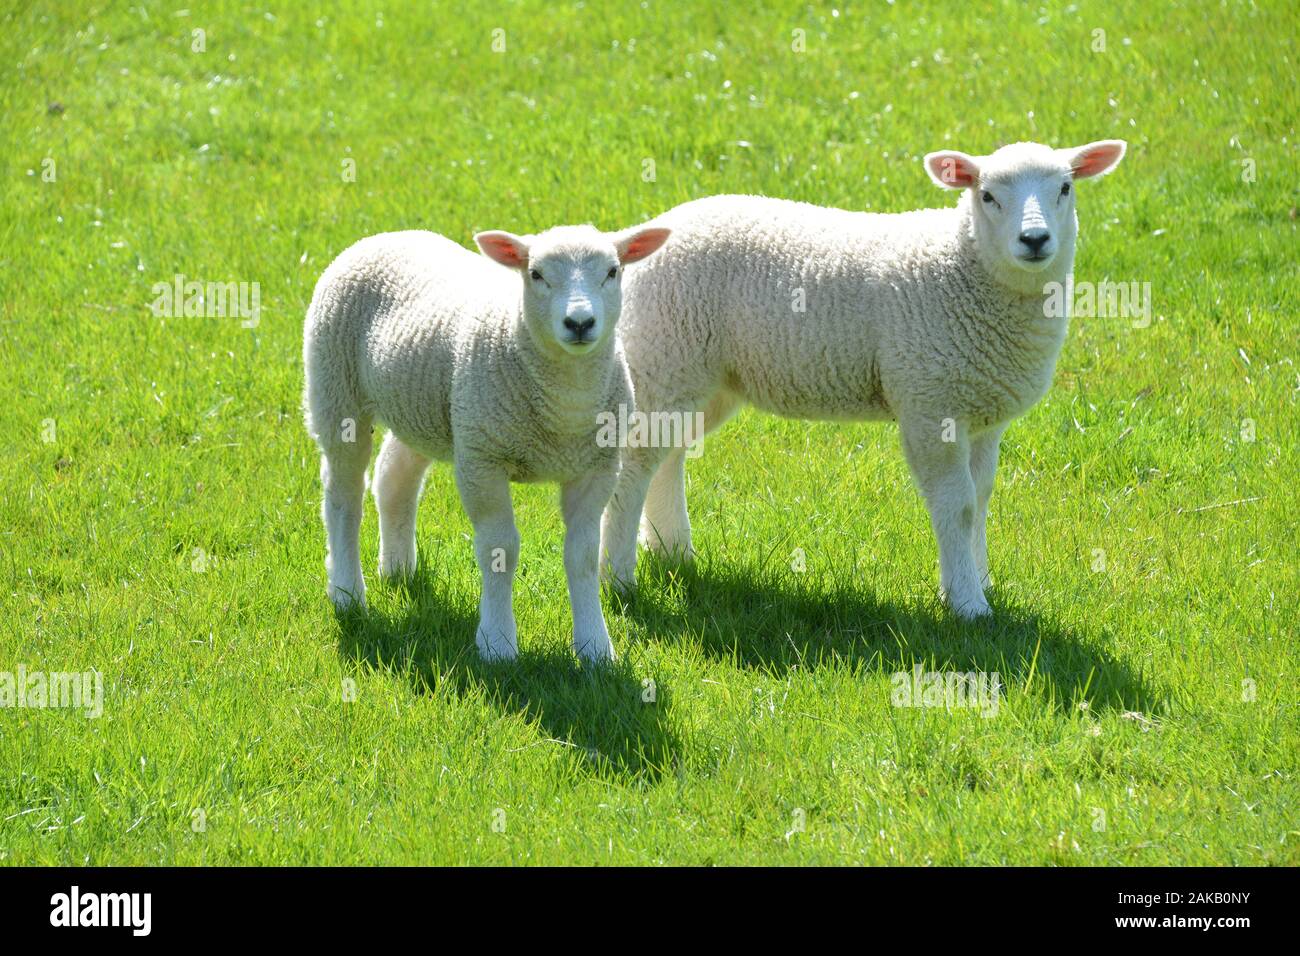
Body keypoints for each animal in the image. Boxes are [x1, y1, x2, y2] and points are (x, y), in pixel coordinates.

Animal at [303, 222, 671, 661]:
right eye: (536, 274)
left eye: (613, 271)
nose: (580, 323)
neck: (566, 407)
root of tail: (384, 236)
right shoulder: (483, 460)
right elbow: (501, 550)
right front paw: (497, 644)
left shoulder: (597, 466)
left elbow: (581, 554)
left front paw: (595, 647)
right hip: (336, 390)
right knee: (343, 499)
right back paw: (347, 593)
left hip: (426, 405)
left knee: (394, 477)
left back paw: (397, 569)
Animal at [600, 140, 1126, 619]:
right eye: (988, 195)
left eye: (1065, 188)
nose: (1034, 240)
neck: (964, 268)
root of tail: (646, 235)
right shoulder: (929, 403)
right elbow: (957, 505)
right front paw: (968, 605)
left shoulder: (984, 413)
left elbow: (981, 498)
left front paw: (980, 581)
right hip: (666, 355)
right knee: (633, 467)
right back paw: (618, 577)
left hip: (701, 377)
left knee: (668, 456)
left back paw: (672, 552)